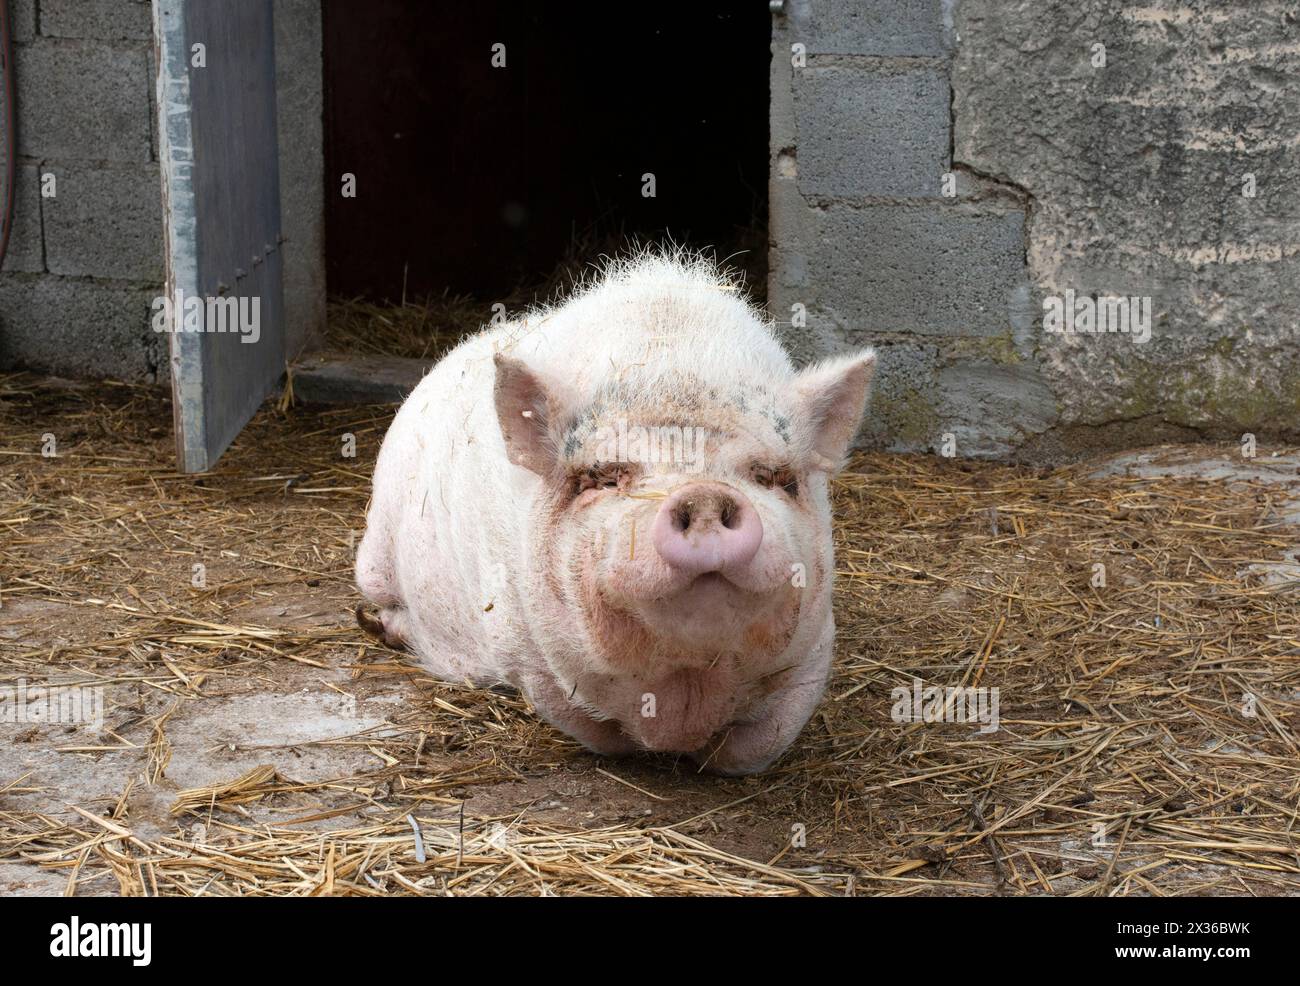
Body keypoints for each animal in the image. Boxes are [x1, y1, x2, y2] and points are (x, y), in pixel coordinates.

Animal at [355, 252, 874, 775]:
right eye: (602, 478)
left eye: (773, 477)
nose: (703, 495)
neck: (685, 692)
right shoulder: (524, 647)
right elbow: (596, 731)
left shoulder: (817, 646)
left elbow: (755, 746)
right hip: (374, 556)